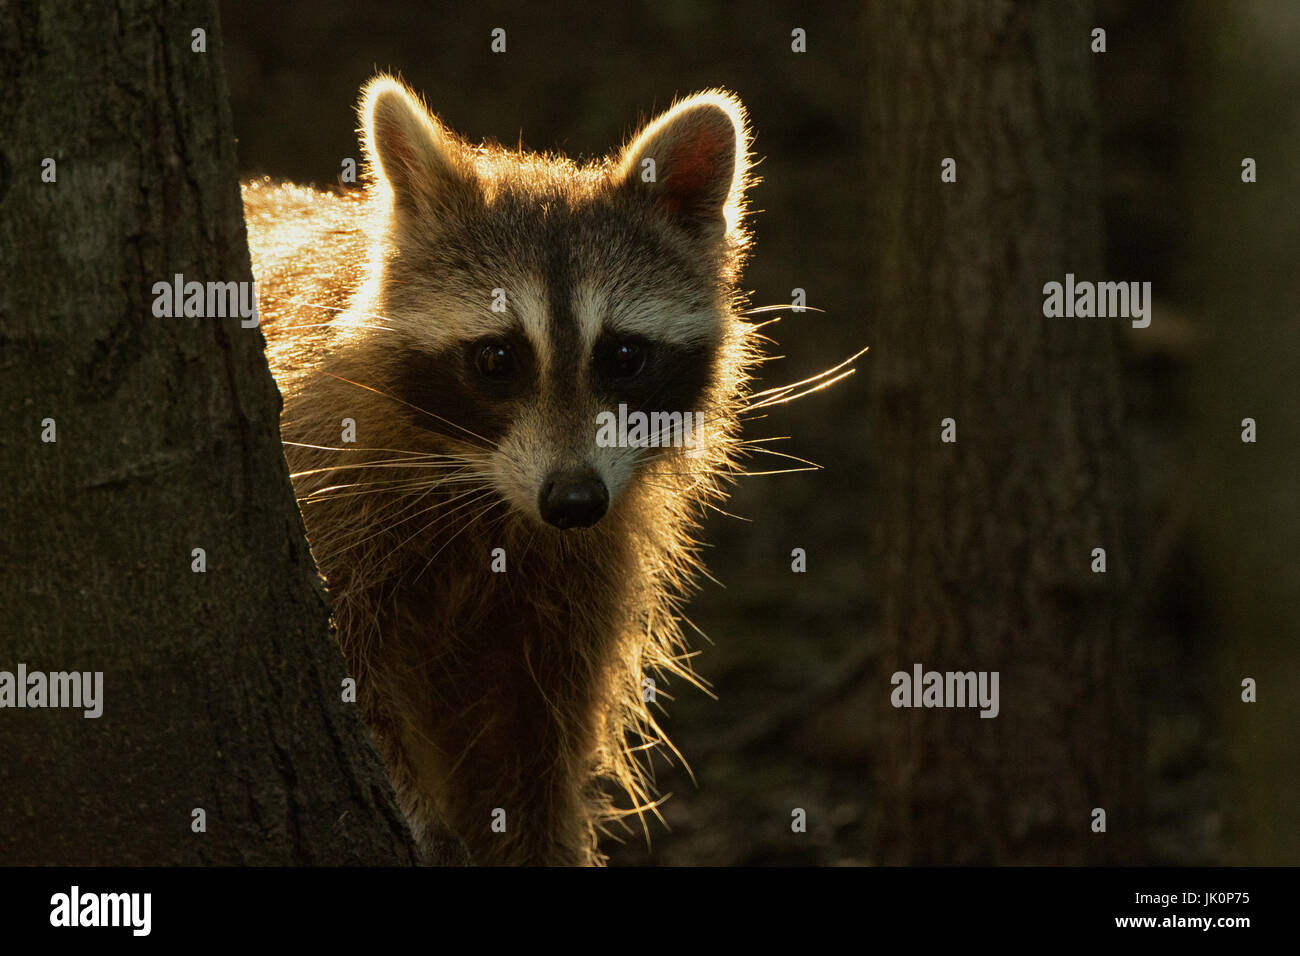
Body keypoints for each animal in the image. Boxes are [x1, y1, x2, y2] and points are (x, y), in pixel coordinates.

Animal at [244, 75, 763, 865]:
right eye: (496, 358)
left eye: (623, 355)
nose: (574, 501)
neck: (486, 494)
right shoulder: (326, 486)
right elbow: (359, 680)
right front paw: (417, 811)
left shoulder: (583, 577)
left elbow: (532, 748)